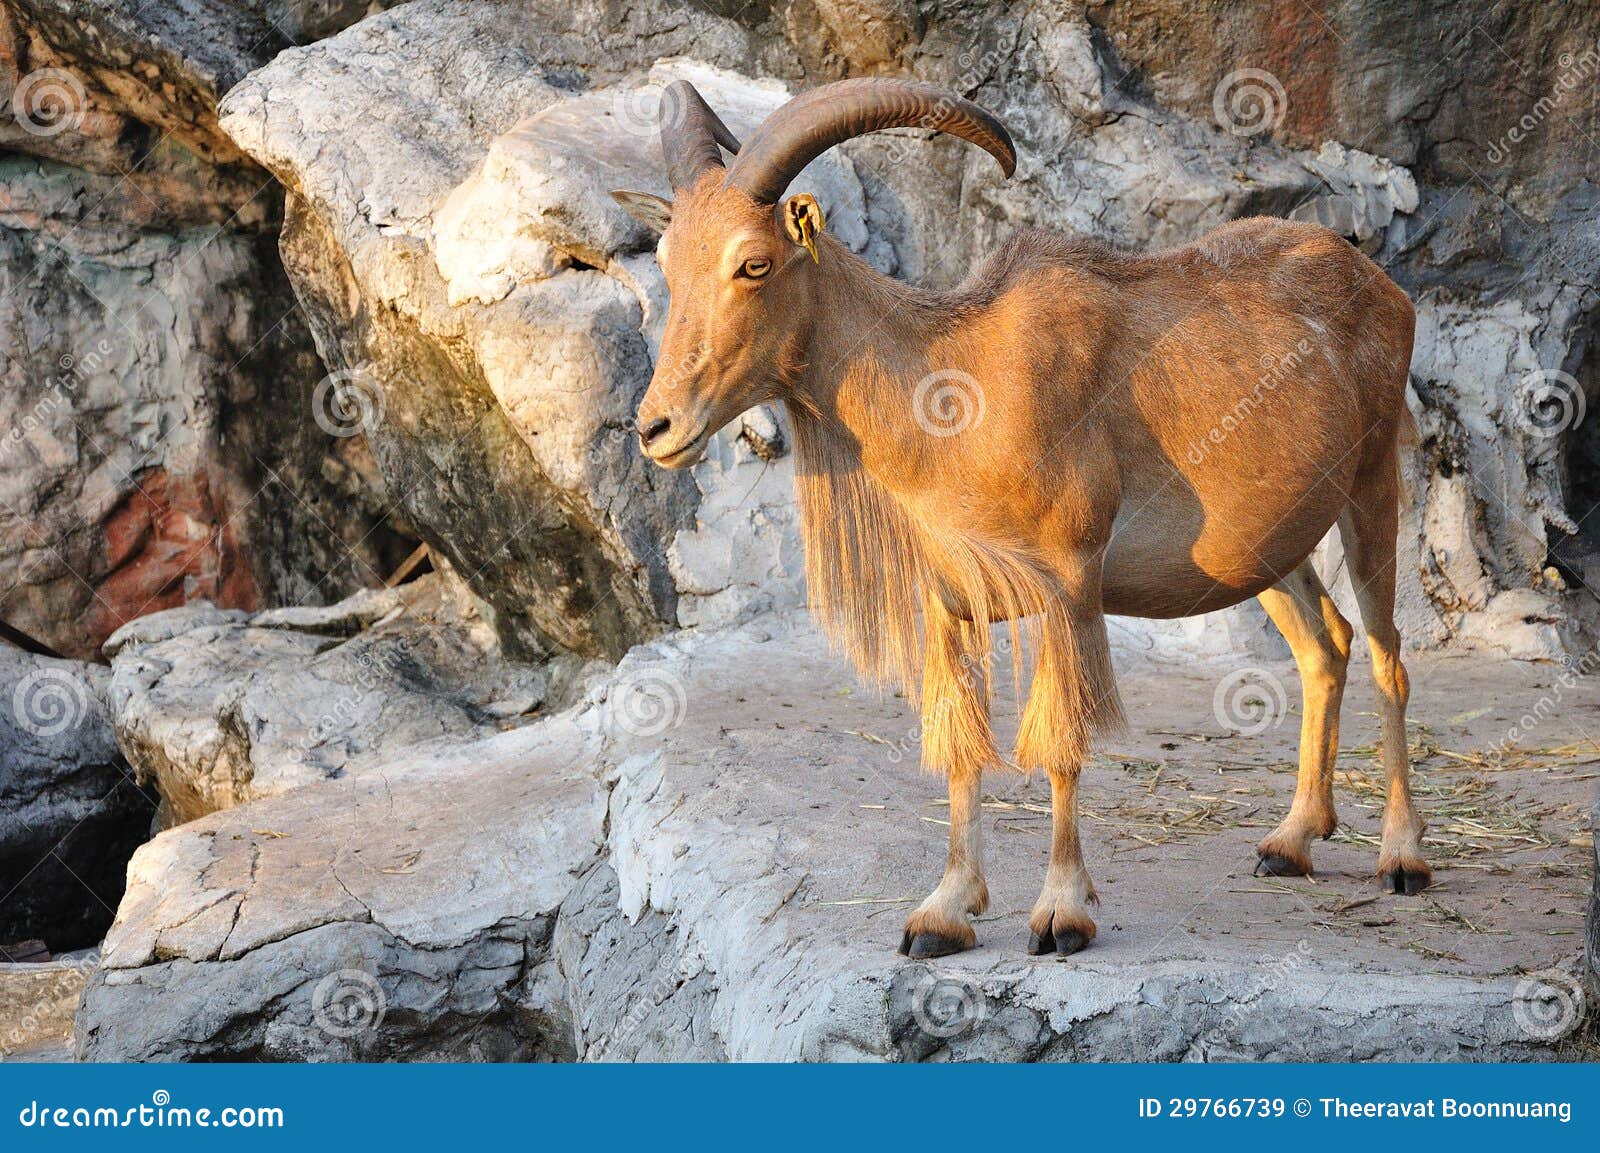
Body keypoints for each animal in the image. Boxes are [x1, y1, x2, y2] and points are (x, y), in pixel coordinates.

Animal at [612, 78, 1425, 959]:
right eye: (668, 262)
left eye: (752, 263)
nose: (655, 427)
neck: (949, 389)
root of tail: (1381, 283)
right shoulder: (951, 601)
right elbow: (961, 747)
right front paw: (943, 912)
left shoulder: (1069, 580)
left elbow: (1059, 742)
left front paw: (1062, 912)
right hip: (1266, 543)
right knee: (1324, 646)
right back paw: (1293, 838)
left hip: (1372, 485)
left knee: (1387, 657)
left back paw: (1402, 856)